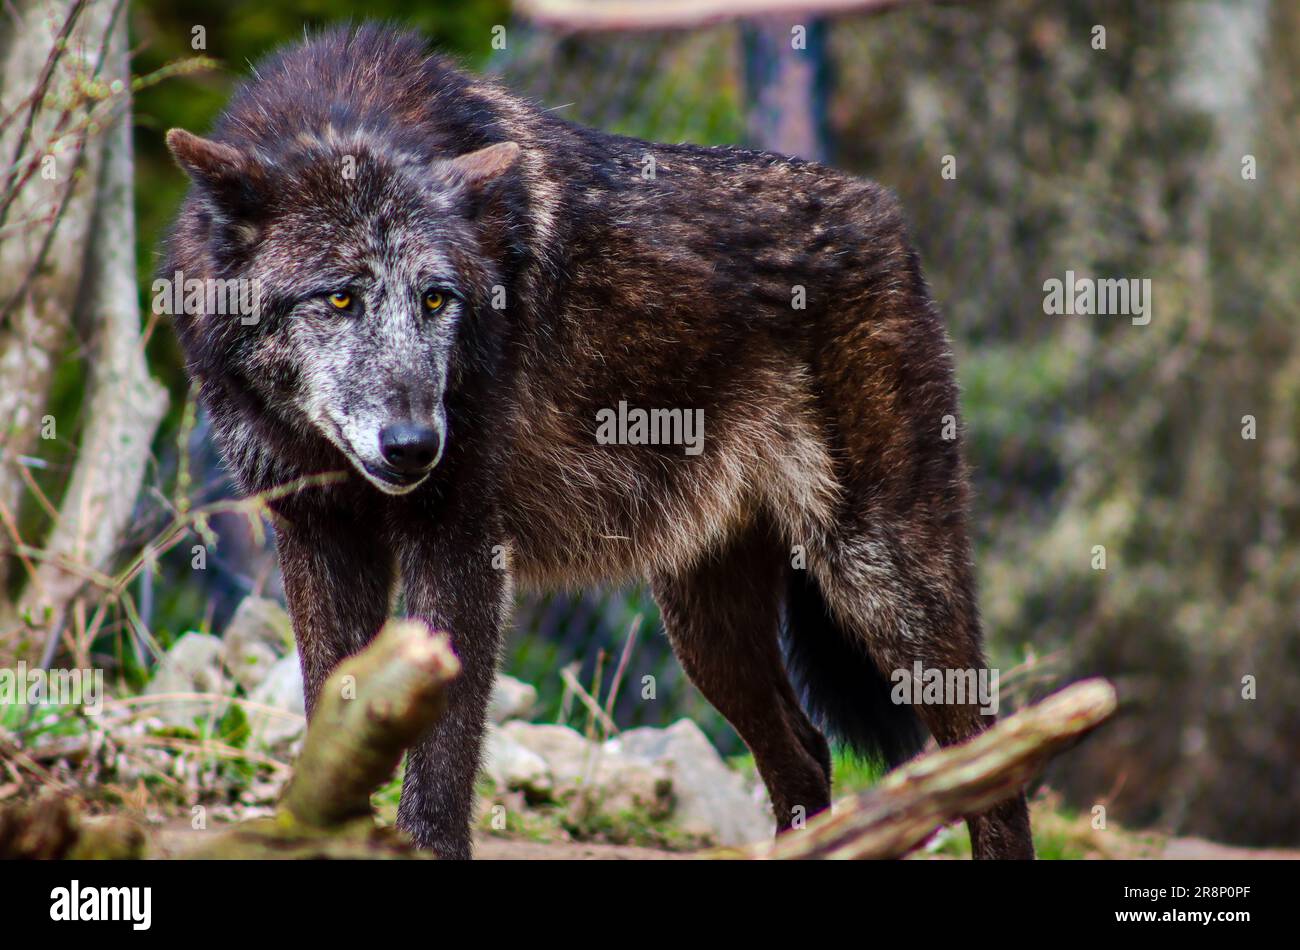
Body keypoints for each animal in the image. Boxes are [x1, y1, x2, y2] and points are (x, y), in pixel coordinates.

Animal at [163, 24, 1033, 859]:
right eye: (340, 298)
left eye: (437, 299)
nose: (415, 446)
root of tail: (890, 216)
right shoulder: (317, 535)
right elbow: (330, 708)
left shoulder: (461, 543)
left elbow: (444, 758)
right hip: (706, 626)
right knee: (807, 752)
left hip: (880, 579)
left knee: (989, 750)